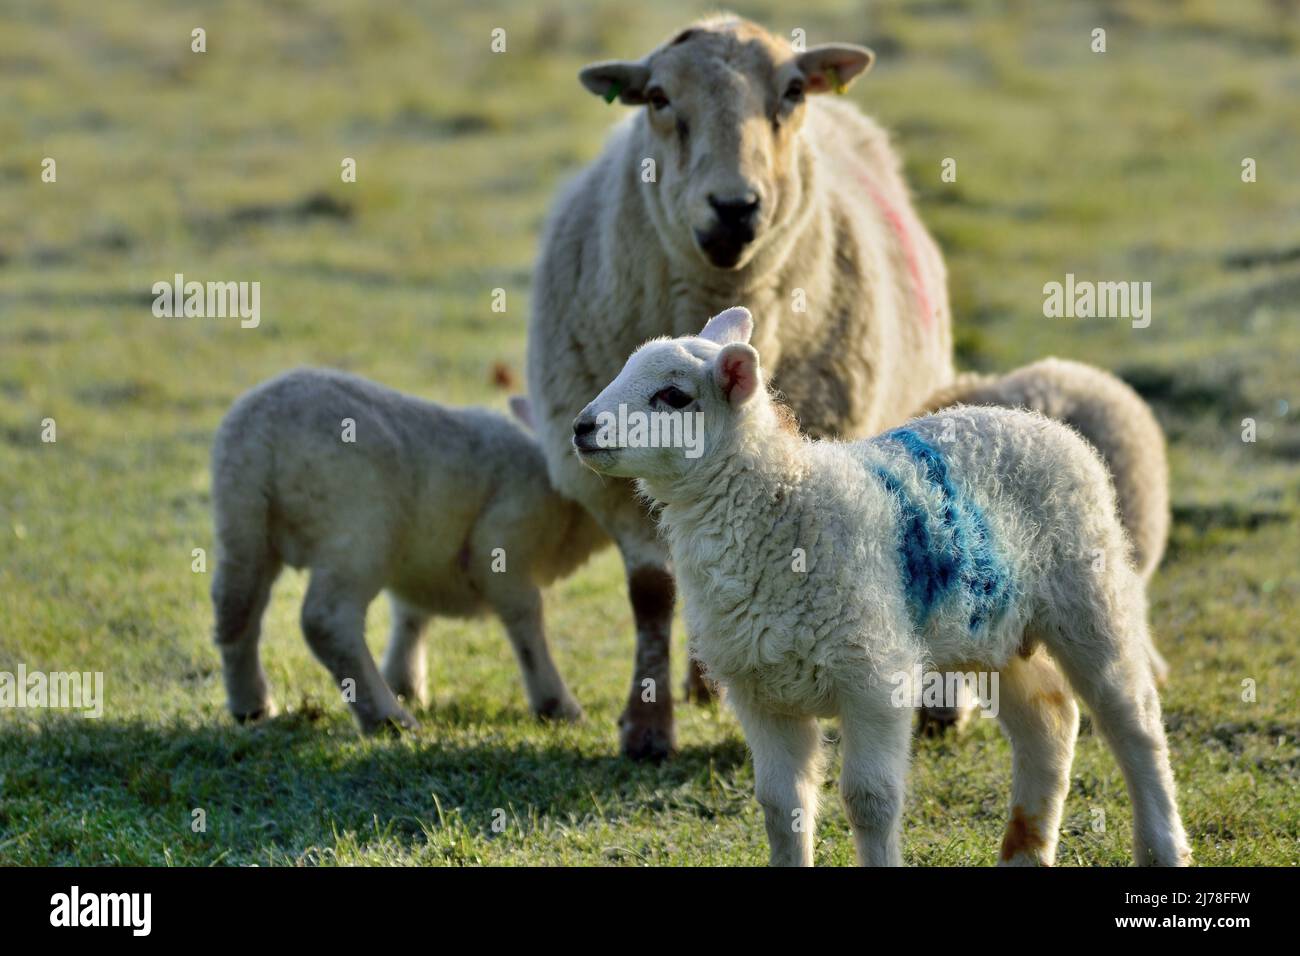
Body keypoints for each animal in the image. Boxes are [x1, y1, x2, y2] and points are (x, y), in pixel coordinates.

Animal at [210, 368, 605, 733]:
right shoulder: (502, 543)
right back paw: (387, 717)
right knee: (326, 621)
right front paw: (558, 705)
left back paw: (251, 705)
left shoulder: (421, 569)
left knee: (236, 610)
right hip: (359, 530)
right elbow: (525, 619)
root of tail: (263, 435)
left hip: (241, 523)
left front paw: (405, 683)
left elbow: (411, 616)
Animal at [528, 15, 953, 759]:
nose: (734, 209)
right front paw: (647, 727)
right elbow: (652, 590)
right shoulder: (614, 489)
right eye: (658, 97)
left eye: (792, 92)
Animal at [572, 307, 1192, 866]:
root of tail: (1041, 421)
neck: (785, 504)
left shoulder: (873, 678)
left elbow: (869, 801)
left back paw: (1163, 848)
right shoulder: (760, 690)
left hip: (1090, 595)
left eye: (673, 397)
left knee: (1135, 723)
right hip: (995, 634)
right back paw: (1026, 853)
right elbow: (780, 807)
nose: (582, 427)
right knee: (1051, 720)